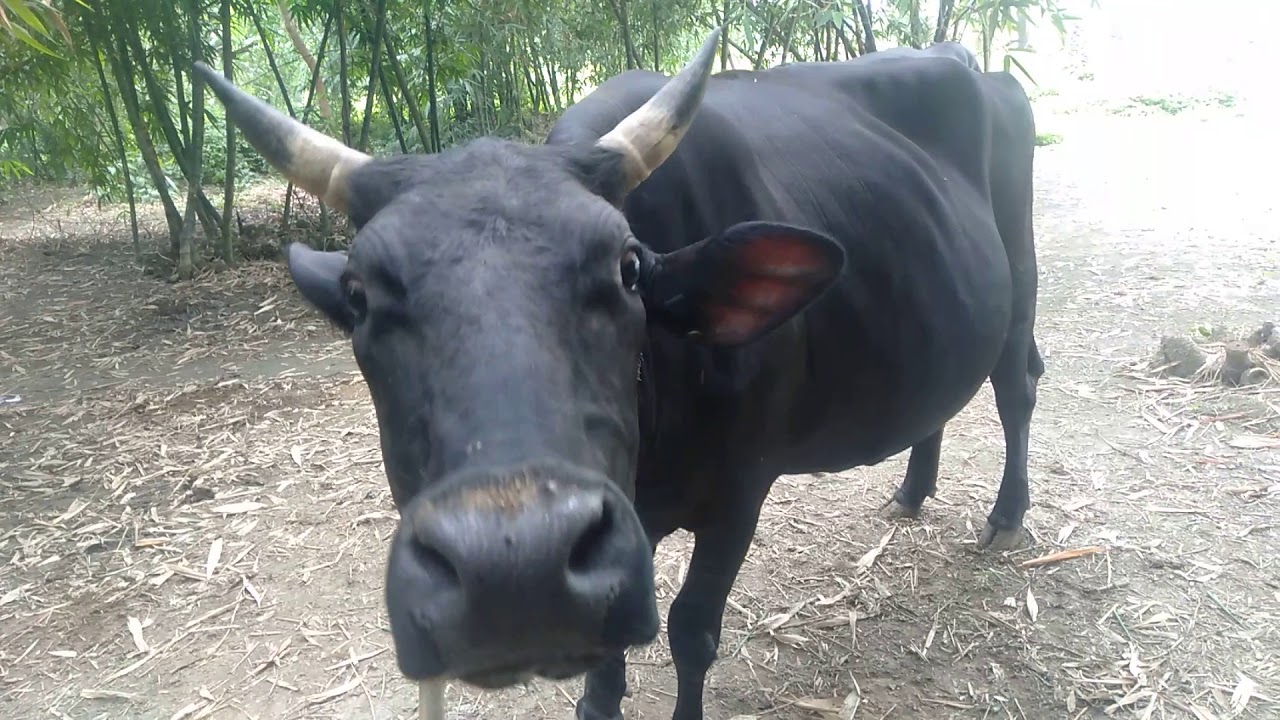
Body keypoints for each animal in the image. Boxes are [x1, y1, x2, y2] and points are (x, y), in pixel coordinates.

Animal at [194, 27, 1042, 720]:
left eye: (629, 270)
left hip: (1021, 287)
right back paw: (912, 489)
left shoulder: (740, 494)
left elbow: (693, 631)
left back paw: (1005, 514)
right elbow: (603, 676)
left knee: (1018, 385)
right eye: (361, 295)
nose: (516, 573)